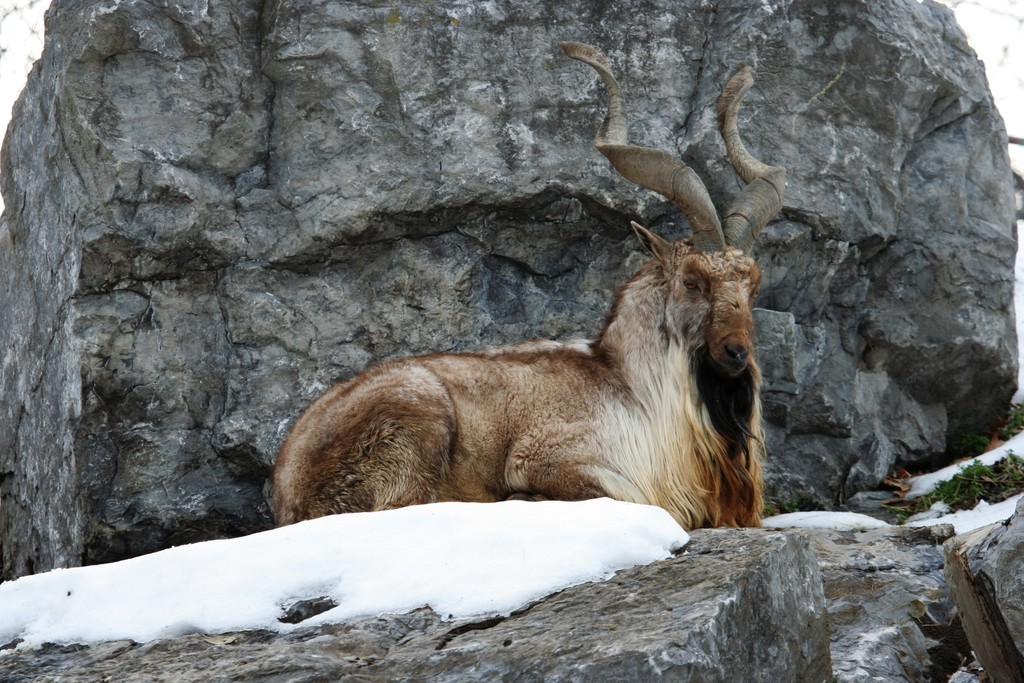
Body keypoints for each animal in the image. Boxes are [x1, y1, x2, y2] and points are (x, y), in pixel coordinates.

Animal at [271, 43, 786, 530]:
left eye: (753, 287)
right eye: (692, 281)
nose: (737, 353)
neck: (634, 390)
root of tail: (290, 484)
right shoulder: (549, 456)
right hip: (418, 410)